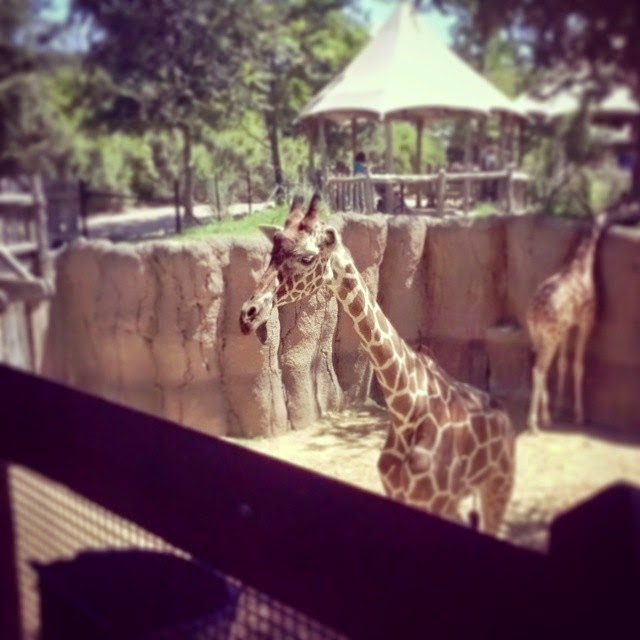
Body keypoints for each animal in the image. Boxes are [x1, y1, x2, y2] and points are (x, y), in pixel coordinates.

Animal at [239, 194, 515, 535]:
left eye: (307, 258)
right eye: (272, 254)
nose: (248, 315)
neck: (406, 406)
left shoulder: (436, 499)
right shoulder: (400, 493)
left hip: (497, 487)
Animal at [526, 213, 608, 432]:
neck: (582, 267)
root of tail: (534, 313)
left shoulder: (567, 328)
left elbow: (563, 364)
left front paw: (558, 408)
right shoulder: (586, 322)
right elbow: (578, 366)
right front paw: (579, 416)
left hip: (540, 336)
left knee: (541, 369)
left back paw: (545, 418)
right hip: (550, 337)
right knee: (538, 370)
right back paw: (533, 423)